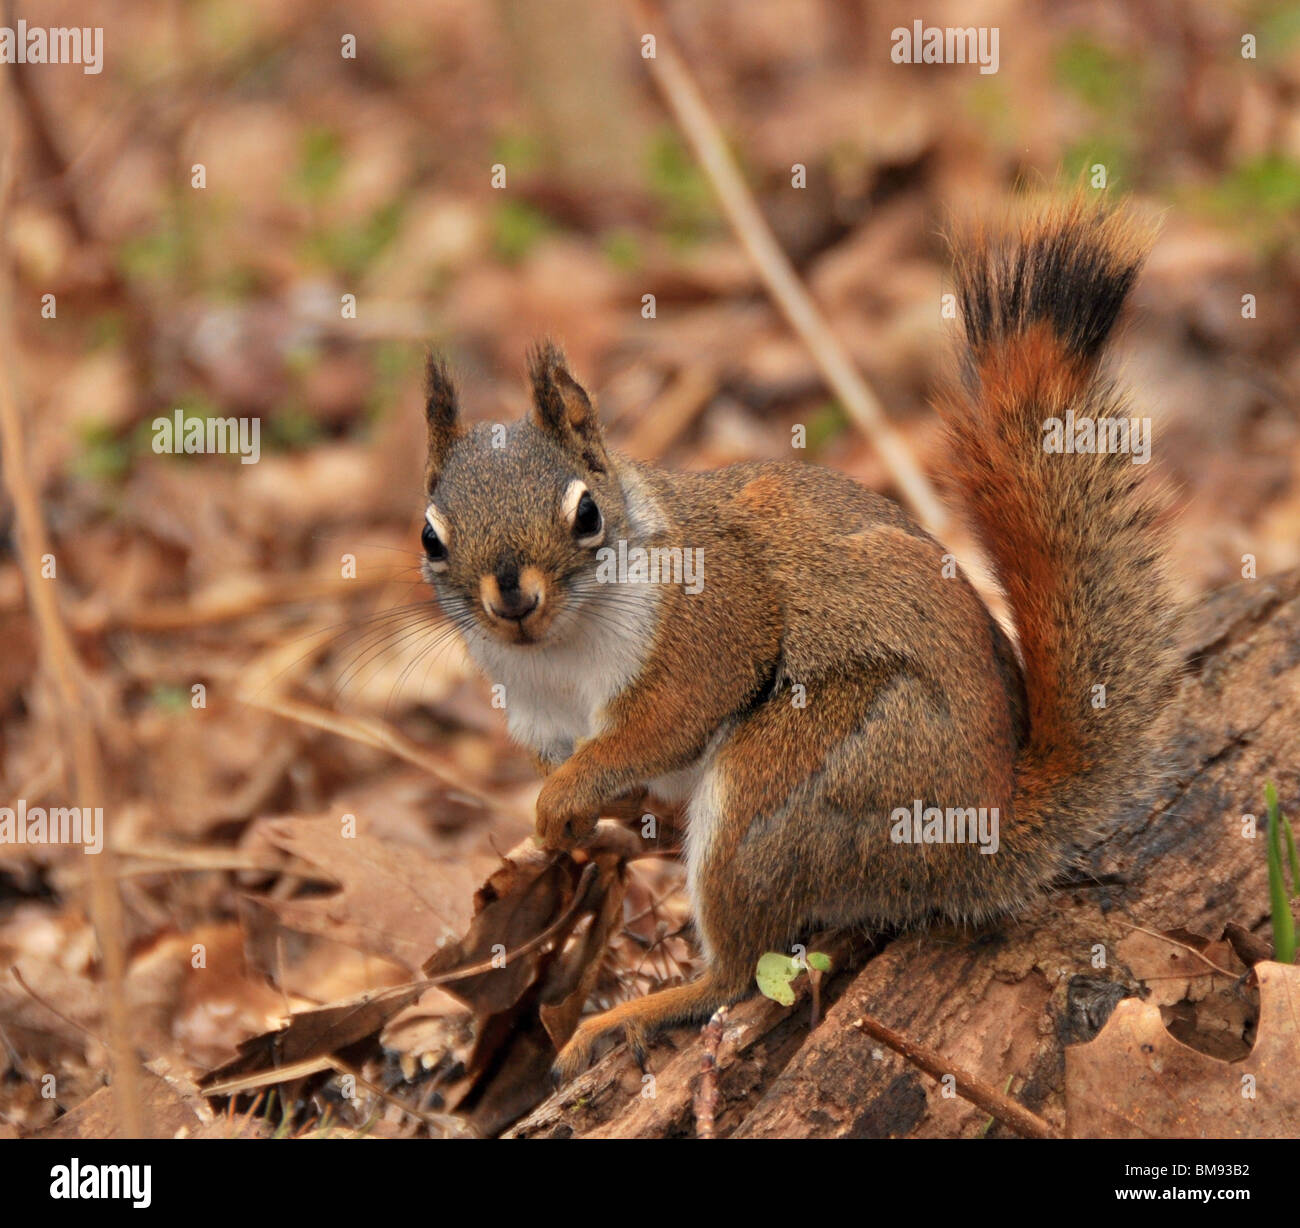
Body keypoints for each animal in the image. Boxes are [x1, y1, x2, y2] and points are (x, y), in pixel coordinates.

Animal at [418, 196, 1179, 1083]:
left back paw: (630, 1014)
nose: (510, 595)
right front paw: (581, 824)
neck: (556, 656)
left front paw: (566, 799)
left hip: (801, 778)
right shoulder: (538, 715)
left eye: (586, 514)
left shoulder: (714, 622)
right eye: (430, 536)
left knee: (738, 967)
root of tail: (981, 831)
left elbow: (665, 720)